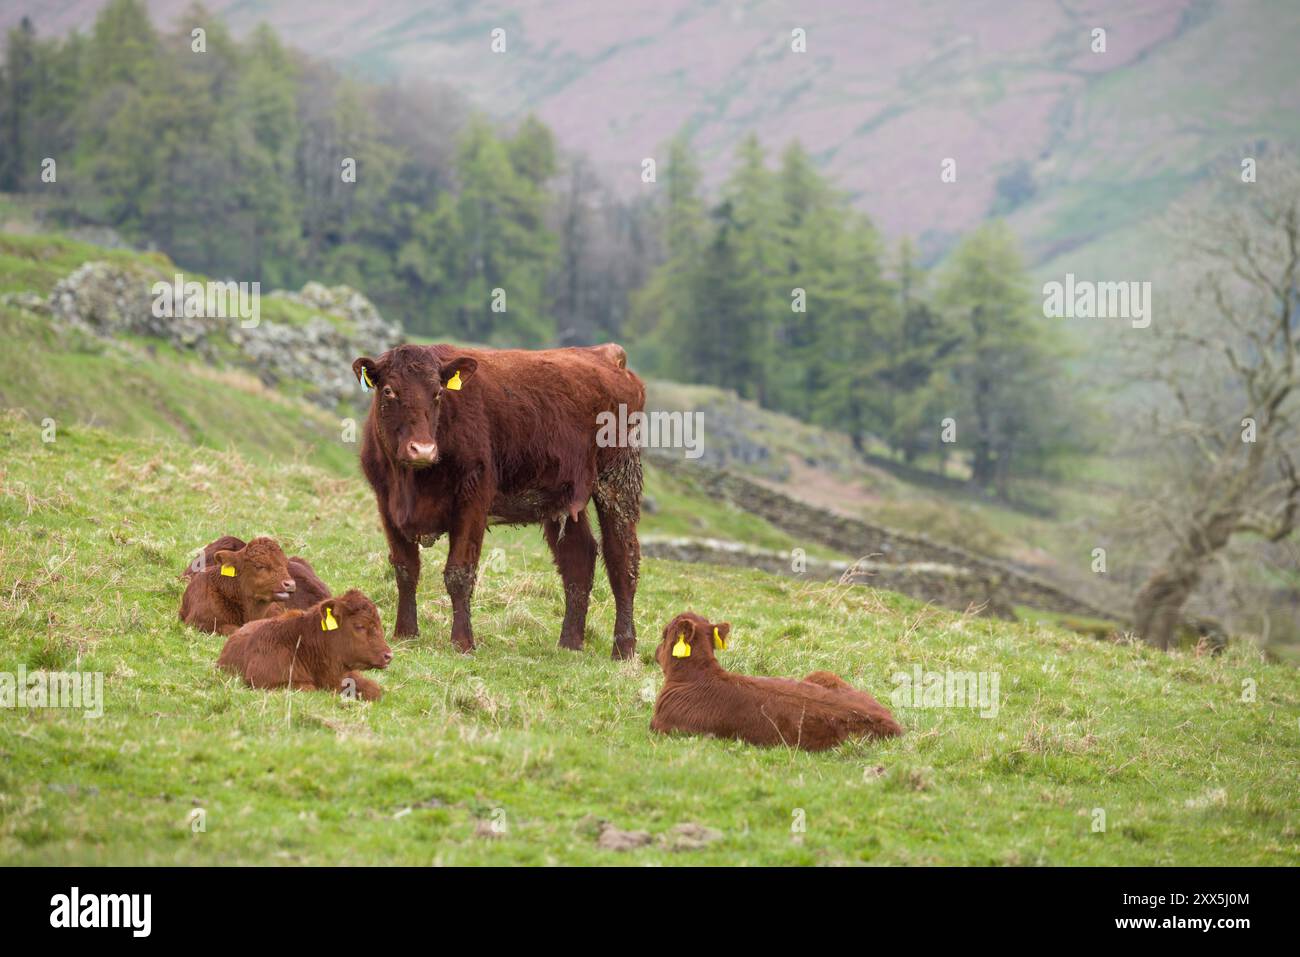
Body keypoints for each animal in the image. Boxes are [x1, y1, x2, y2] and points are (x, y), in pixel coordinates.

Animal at [351, 342, 645, 657]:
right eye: (389, 391)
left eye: (438, 392)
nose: (423, 449)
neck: (411, 482)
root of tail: (606, 355)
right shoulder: (386, 503)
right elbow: (405, 568)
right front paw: (405, 633)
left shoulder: (473, 499)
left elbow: (459, 573)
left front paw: (462, 642)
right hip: (563, 496)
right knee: (579, 559)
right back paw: (569, 643)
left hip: (618, 478)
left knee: (622, 560)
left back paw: (623, 649)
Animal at [650, 611, 903, 750]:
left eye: (663, 633)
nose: (655, 651)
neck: (697, 674)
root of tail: (891, 721)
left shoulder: (664, 725)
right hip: (821, 674)